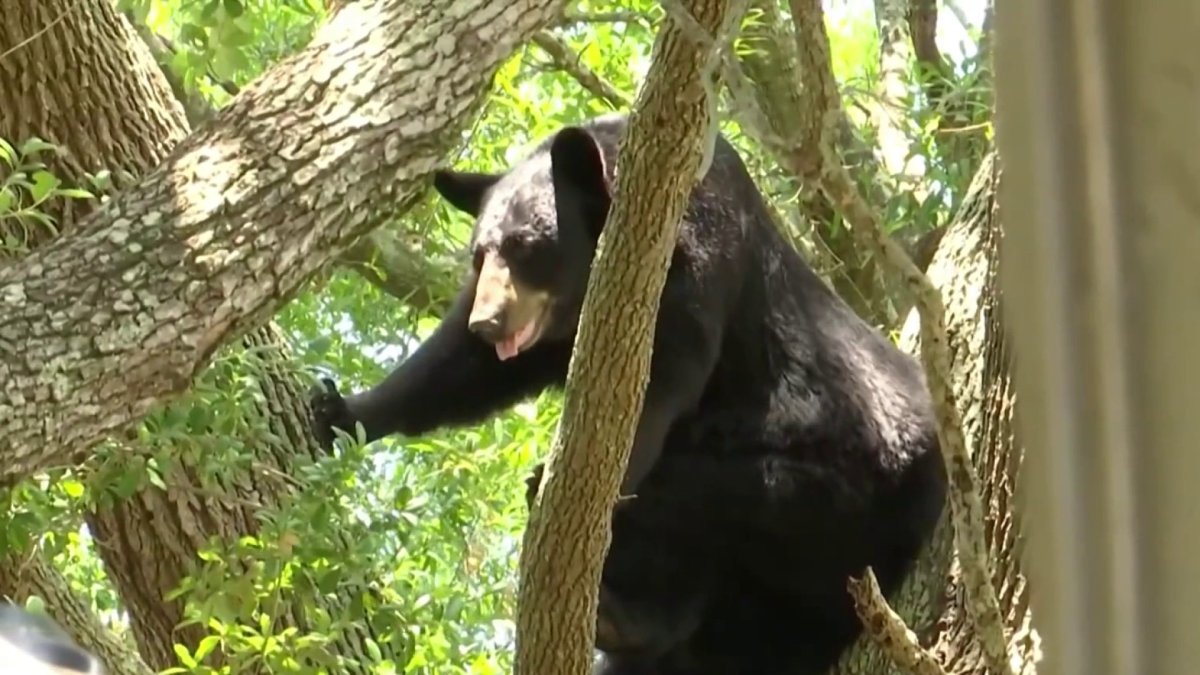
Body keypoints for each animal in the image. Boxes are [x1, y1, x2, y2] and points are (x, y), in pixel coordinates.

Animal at [310, 113, 948, 675]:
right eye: (479, 253)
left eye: (526, 245)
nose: (487, 323)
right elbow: (461, 371)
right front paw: (340, 410)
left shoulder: (694, 254)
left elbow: (660, 380)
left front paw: (562, 477)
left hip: (847, 491)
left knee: (708, 500)